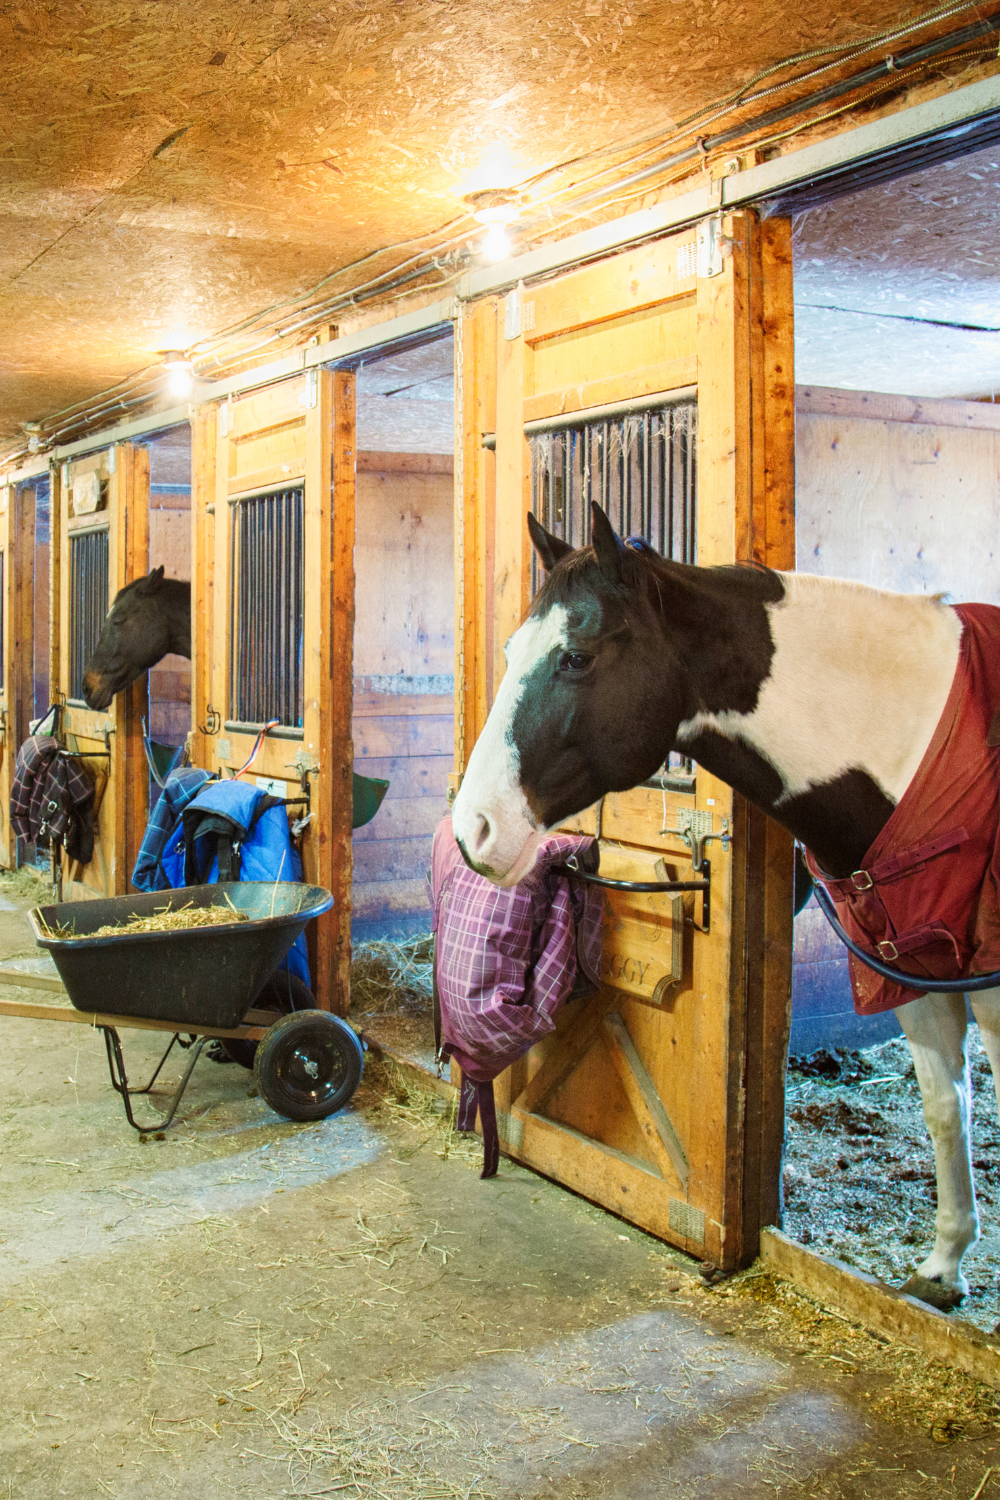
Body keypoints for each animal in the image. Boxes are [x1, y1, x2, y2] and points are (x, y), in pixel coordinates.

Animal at [451, 502, 1000, 1313]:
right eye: (515, 649)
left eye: (576, 657)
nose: (472, 829)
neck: (915, 742)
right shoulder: (913, 965)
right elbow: (945, 1104)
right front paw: (942, 1268)